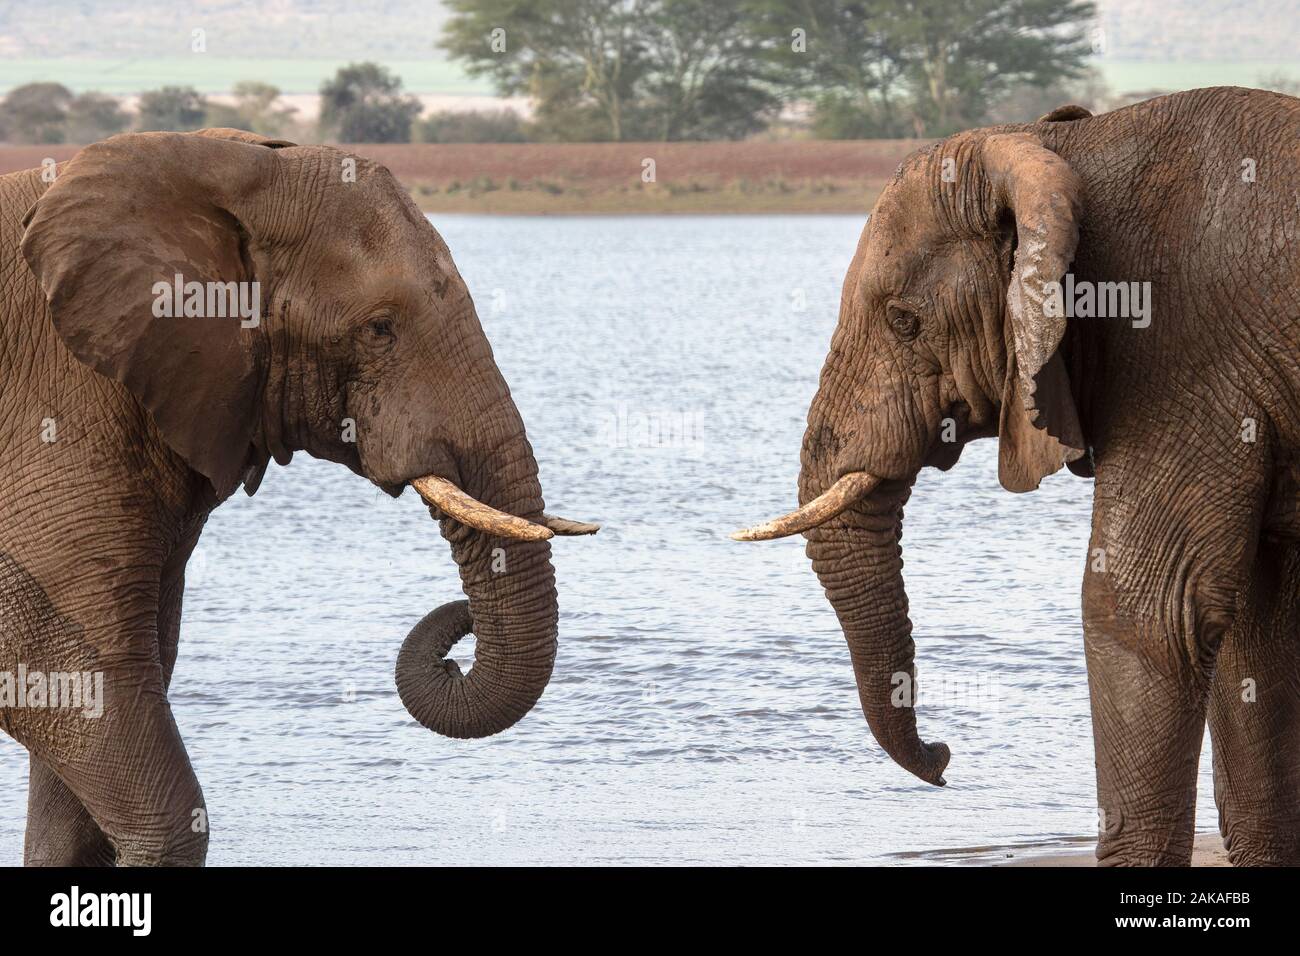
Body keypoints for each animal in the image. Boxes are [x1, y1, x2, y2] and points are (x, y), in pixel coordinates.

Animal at [735, 87, 1300, 866]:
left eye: (904, 321)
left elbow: (1146, 612)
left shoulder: (1188, 360)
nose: (945, 758)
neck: (1062, 151)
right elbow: (1256, 629)